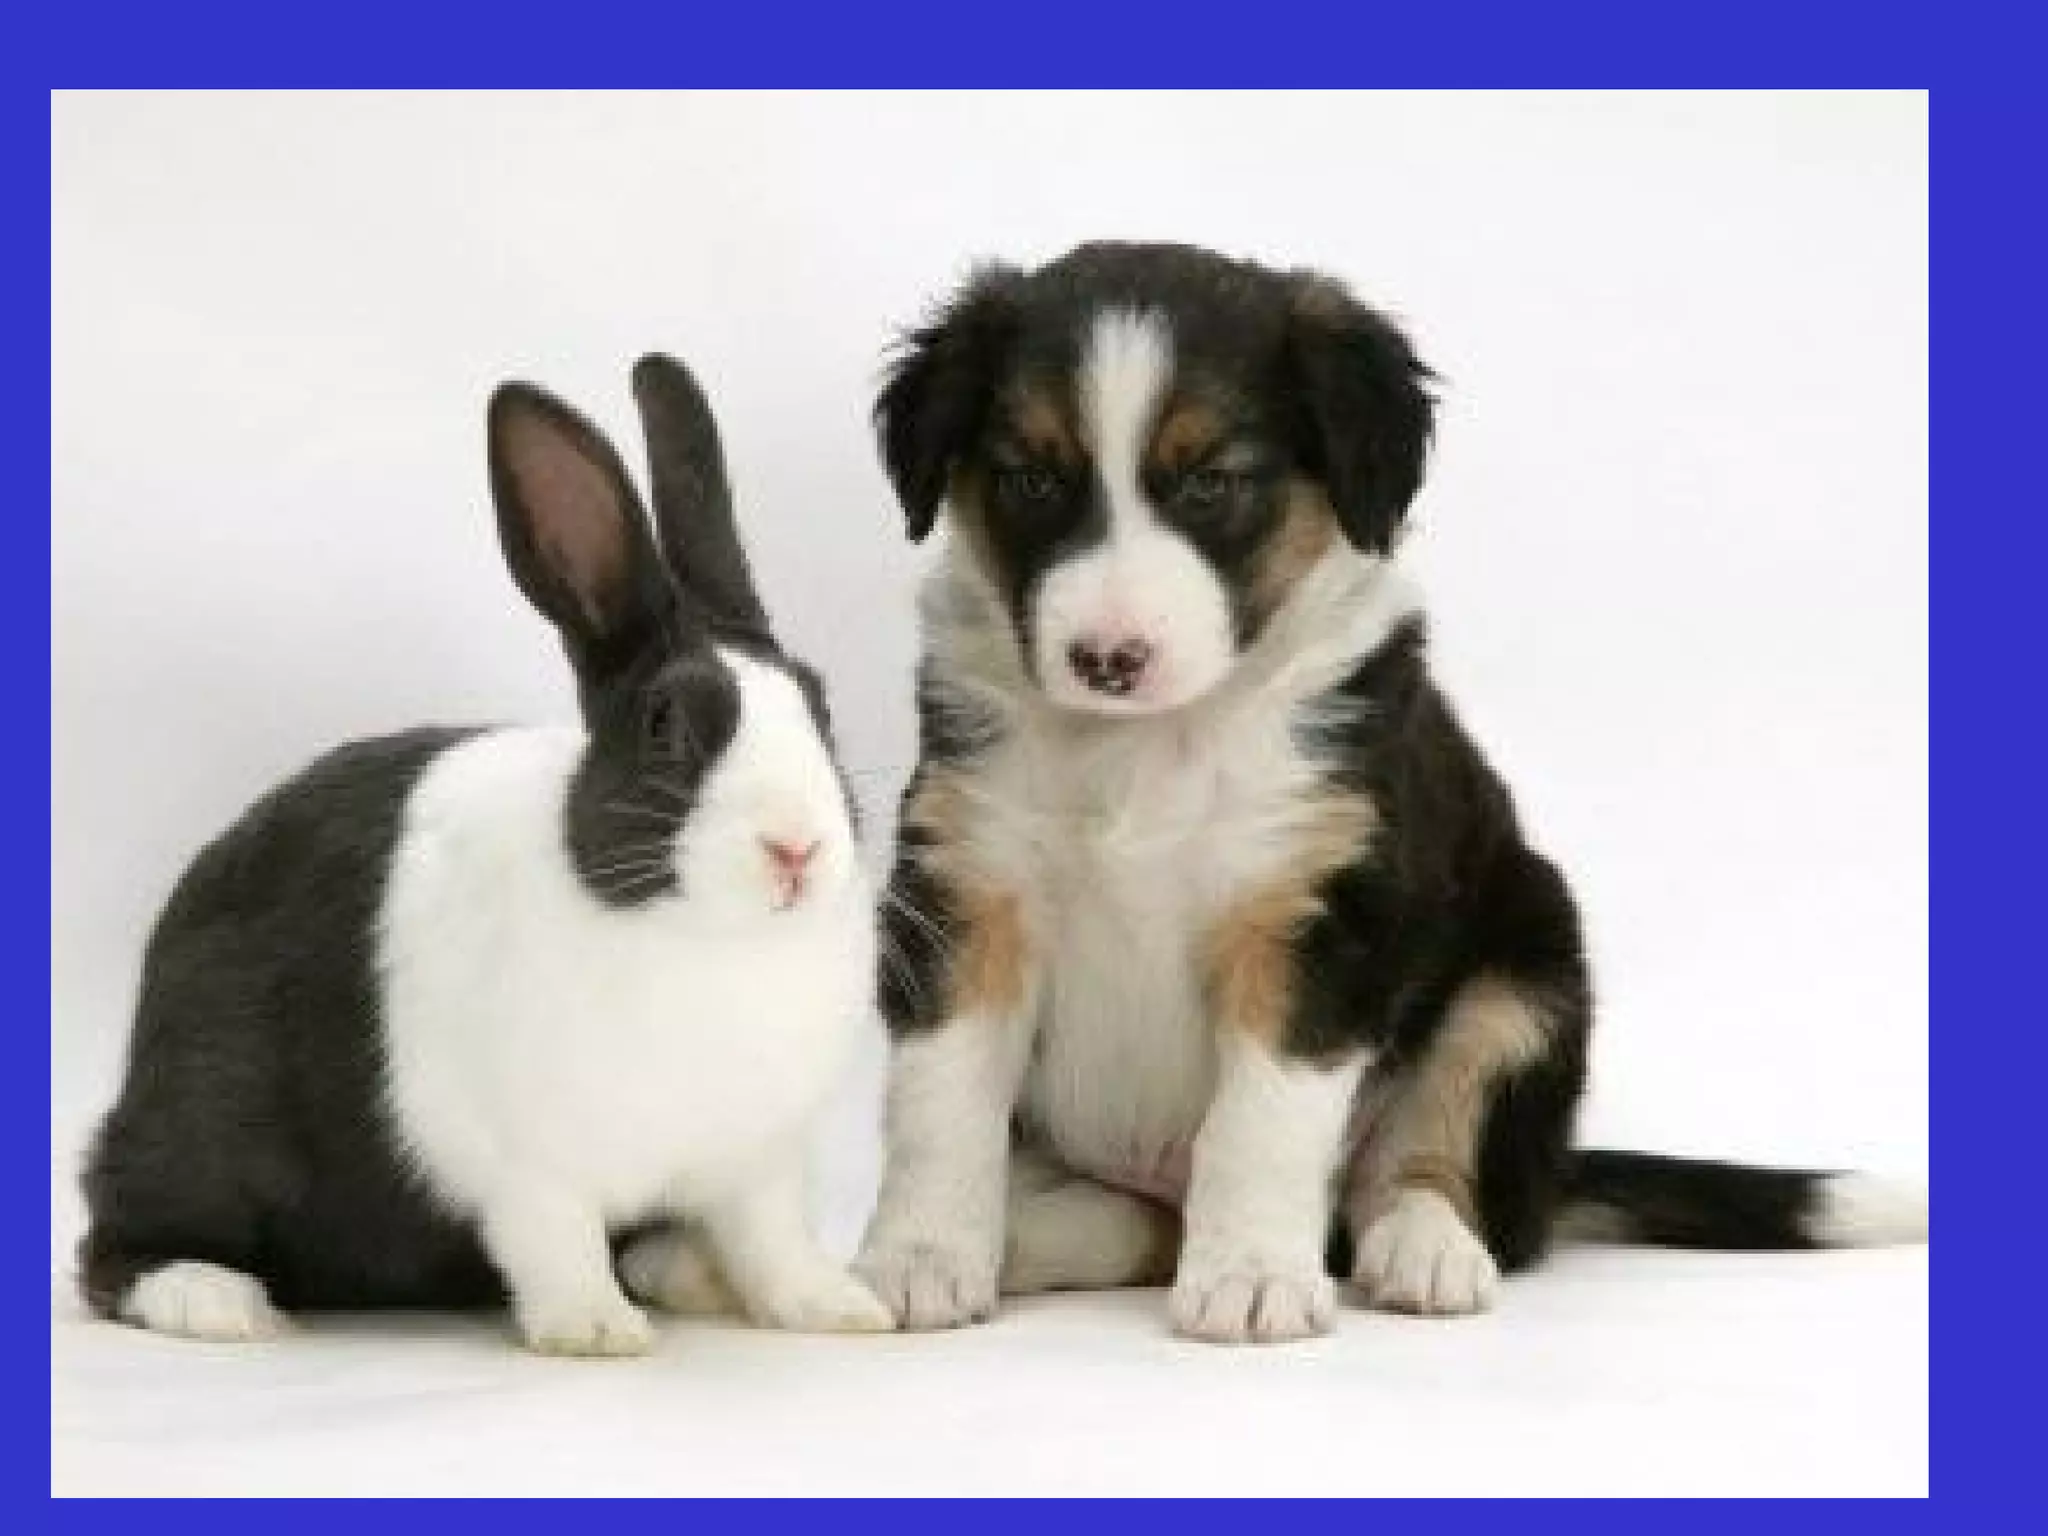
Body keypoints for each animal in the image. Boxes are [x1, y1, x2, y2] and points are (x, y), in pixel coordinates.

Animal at [77, 355, 893, 1355]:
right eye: (664, 725)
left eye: (819, 706)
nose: (797, 847)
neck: (706, 936)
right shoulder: (532, 1168)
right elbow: (558, 1245)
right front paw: (595, 1331)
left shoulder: (758, 1162)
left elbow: (773, 1243)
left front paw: (839, 1308)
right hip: (205, 1119)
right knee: (112, 1237)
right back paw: (219, 1302)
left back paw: (685, 1273)